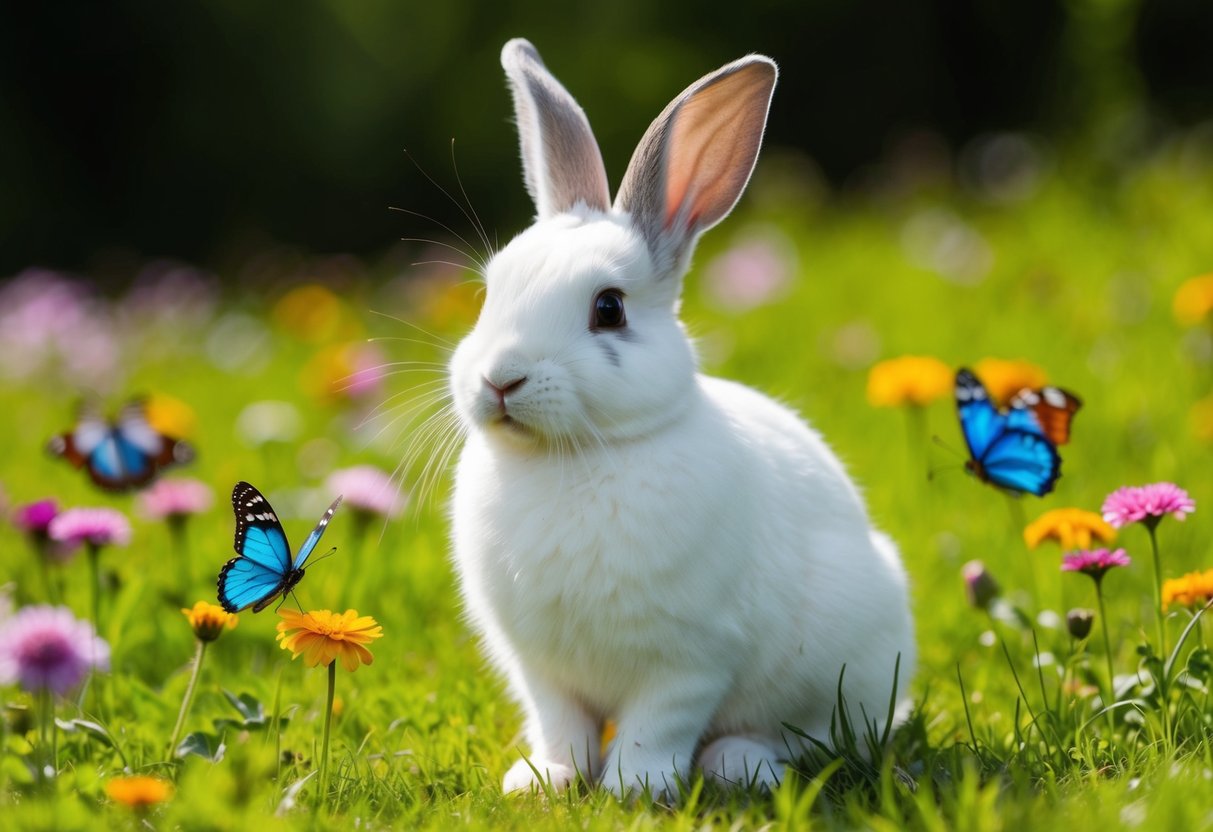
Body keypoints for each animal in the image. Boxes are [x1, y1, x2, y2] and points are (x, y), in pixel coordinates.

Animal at [447, 37, 915, 798]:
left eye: (608, 308)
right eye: (492, 292)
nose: (499, 379)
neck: (576, 454)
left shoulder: (688, 662)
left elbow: (654, 728)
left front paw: (633, 789)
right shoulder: (541, 670)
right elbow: (561, 727)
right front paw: (545, 781)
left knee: (815, 735)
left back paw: (738, 763)